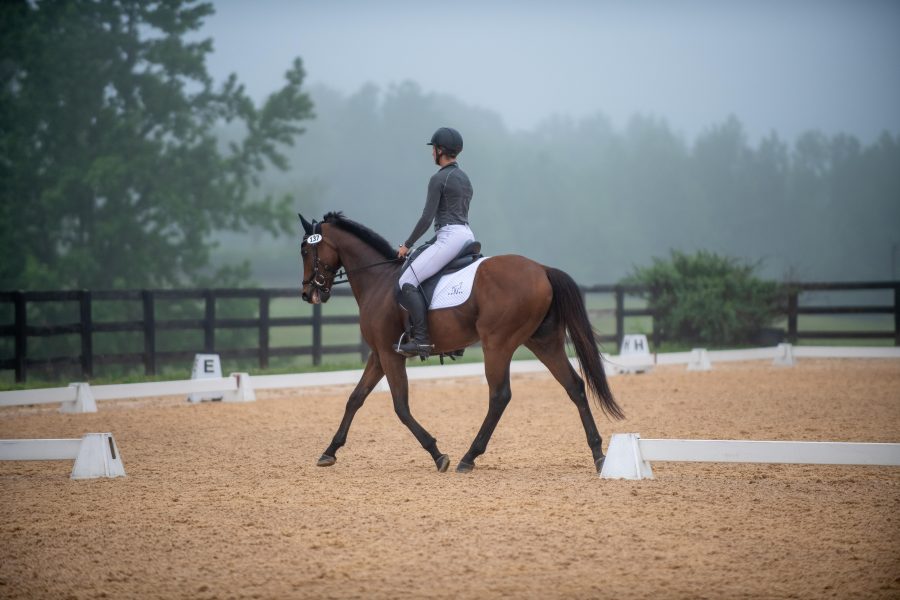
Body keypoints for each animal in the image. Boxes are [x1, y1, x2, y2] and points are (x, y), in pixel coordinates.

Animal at [299, 211, 624, 474]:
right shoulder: (379, 355)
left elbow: (400, 406)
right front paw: (329, 452)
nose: (308, 294)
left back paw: (469, 457)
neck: (377, 279)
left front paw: (437, 453)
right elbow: (355, 398)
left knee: (500, 396)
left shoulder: (391, 356)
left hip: (497, 344)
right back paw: (598, 454)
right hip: (544, 342)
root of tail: (541, 269)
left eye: (304, 249)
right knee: (574, 386)